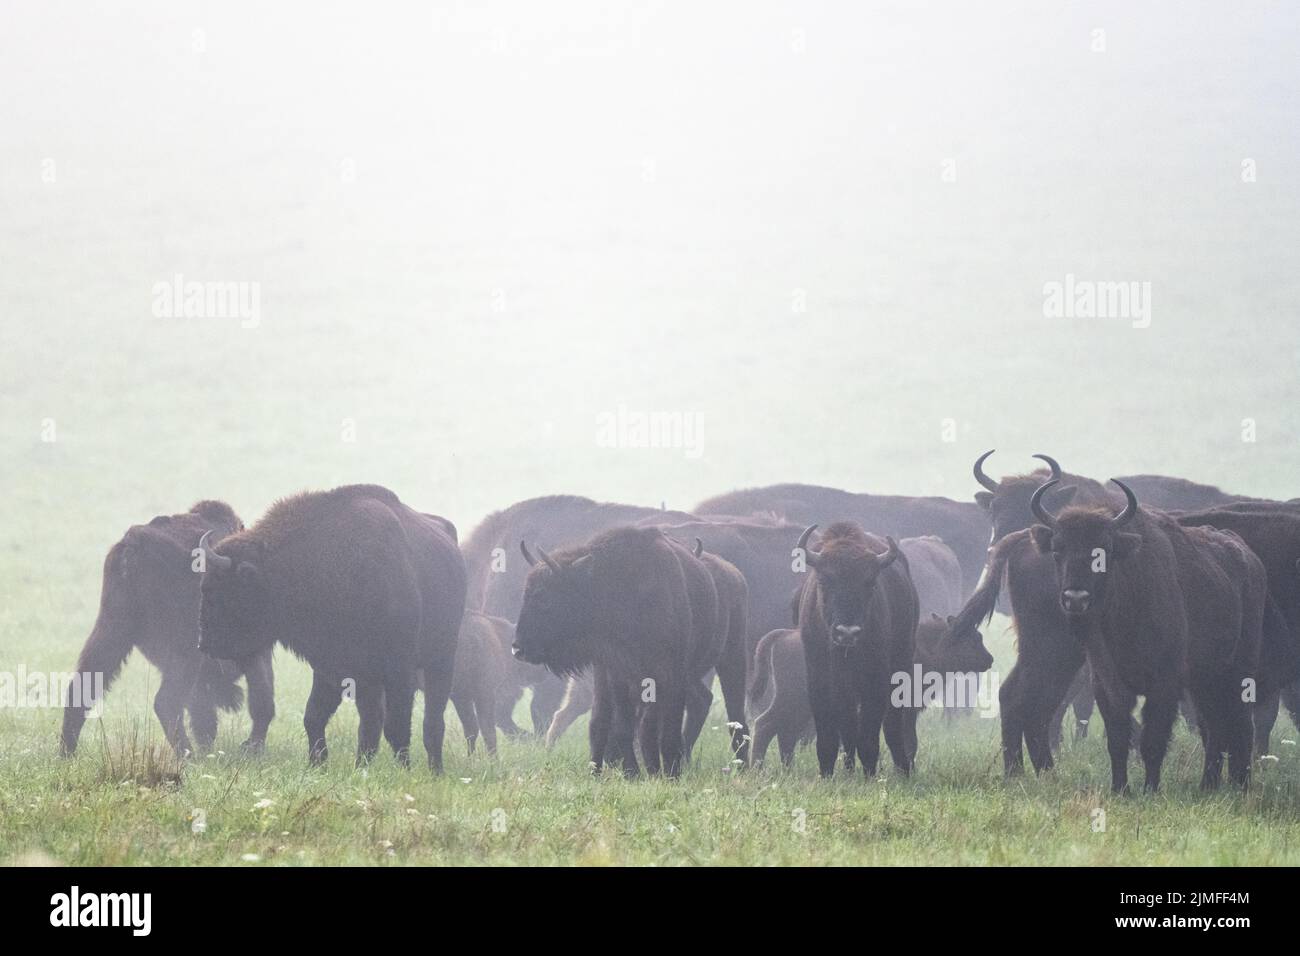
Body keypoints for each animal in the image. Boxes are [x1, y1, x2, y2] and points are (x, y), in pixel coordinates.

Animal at [60, 501, 275, 758]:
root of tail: (135, 542)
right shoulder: (256, 648)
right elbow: (263, 697)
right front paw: (253, 747)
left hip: (111, 629)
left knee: (81, 687)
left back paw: (66, 753)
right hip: (187, 646)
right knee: (166, 702)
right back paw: (188, 756)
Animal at [197, 484, 466, 772]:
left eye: (217, 591)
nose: (204, 643)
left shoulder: (397, 670)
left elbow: (395, 726)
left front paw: (402, 769)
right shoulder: (332, 668)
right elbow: (316, 715)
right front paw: (320, 763)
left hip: (440, 662)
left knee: (432, 720)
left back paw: (436, 769)